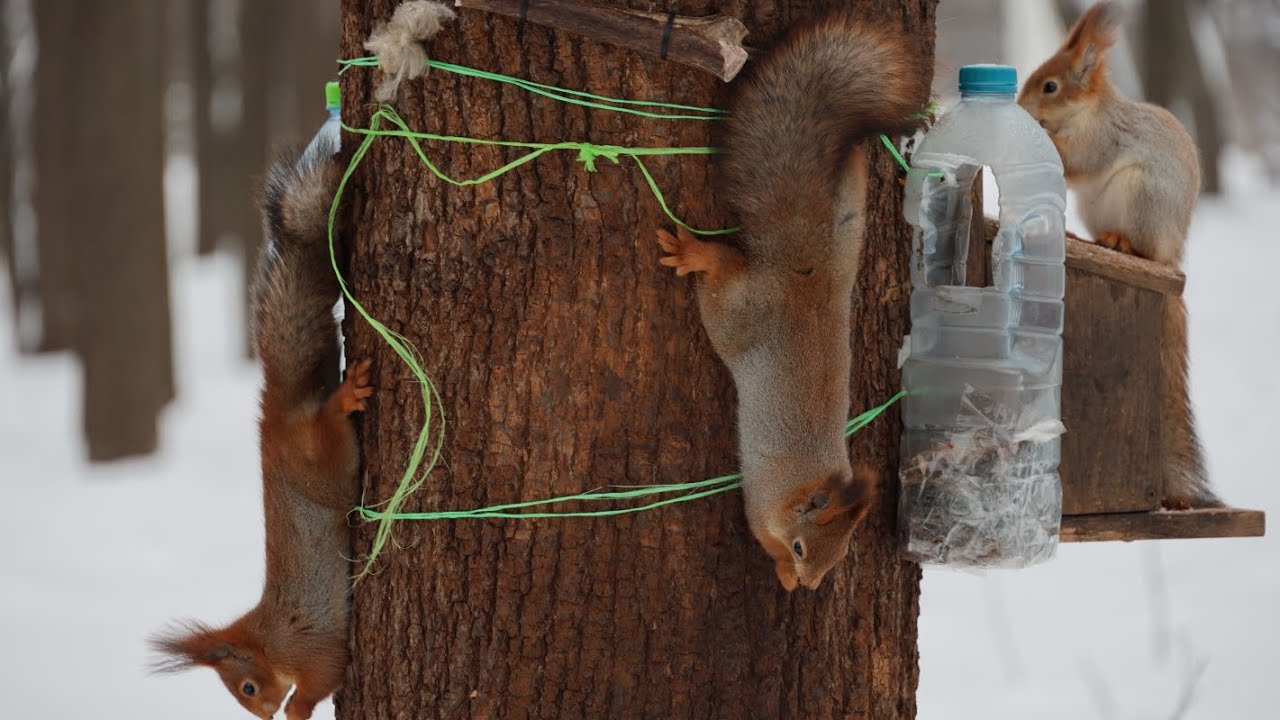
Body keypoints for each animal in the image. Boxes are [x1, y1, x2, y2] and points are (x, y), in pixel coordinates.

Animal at [150, 127, 369, 720]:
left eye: (246, 688)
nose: (264, 715)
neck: (269, 640)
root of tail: (275, 416)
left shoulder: (313, 646)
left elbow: (325, 675)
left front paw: (296, 709)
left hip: (323, 461)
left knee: (327, 423)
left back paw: (346, 396)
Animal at [656, 12, 931, 590]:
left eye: (843, 553)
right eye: (804, 547)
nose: (809, 587)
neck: (807, 484)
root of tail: (807, 279)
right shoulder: (762, 507)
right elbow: (764, 538)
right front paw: (782, 572)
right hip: (736, 313)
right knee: (724, 273)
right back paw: (697, 254)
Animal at [1018, 1, 1221, 509]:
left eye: (1050, 87)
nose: (1021, 107)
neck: (1086, 113)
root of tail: (1172, 260)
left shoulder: (1101, 140)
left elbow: (1076, 161)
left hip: (1141, 197)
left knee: (1141, 246)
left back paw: (1119, 243)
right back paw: (1088, 238)